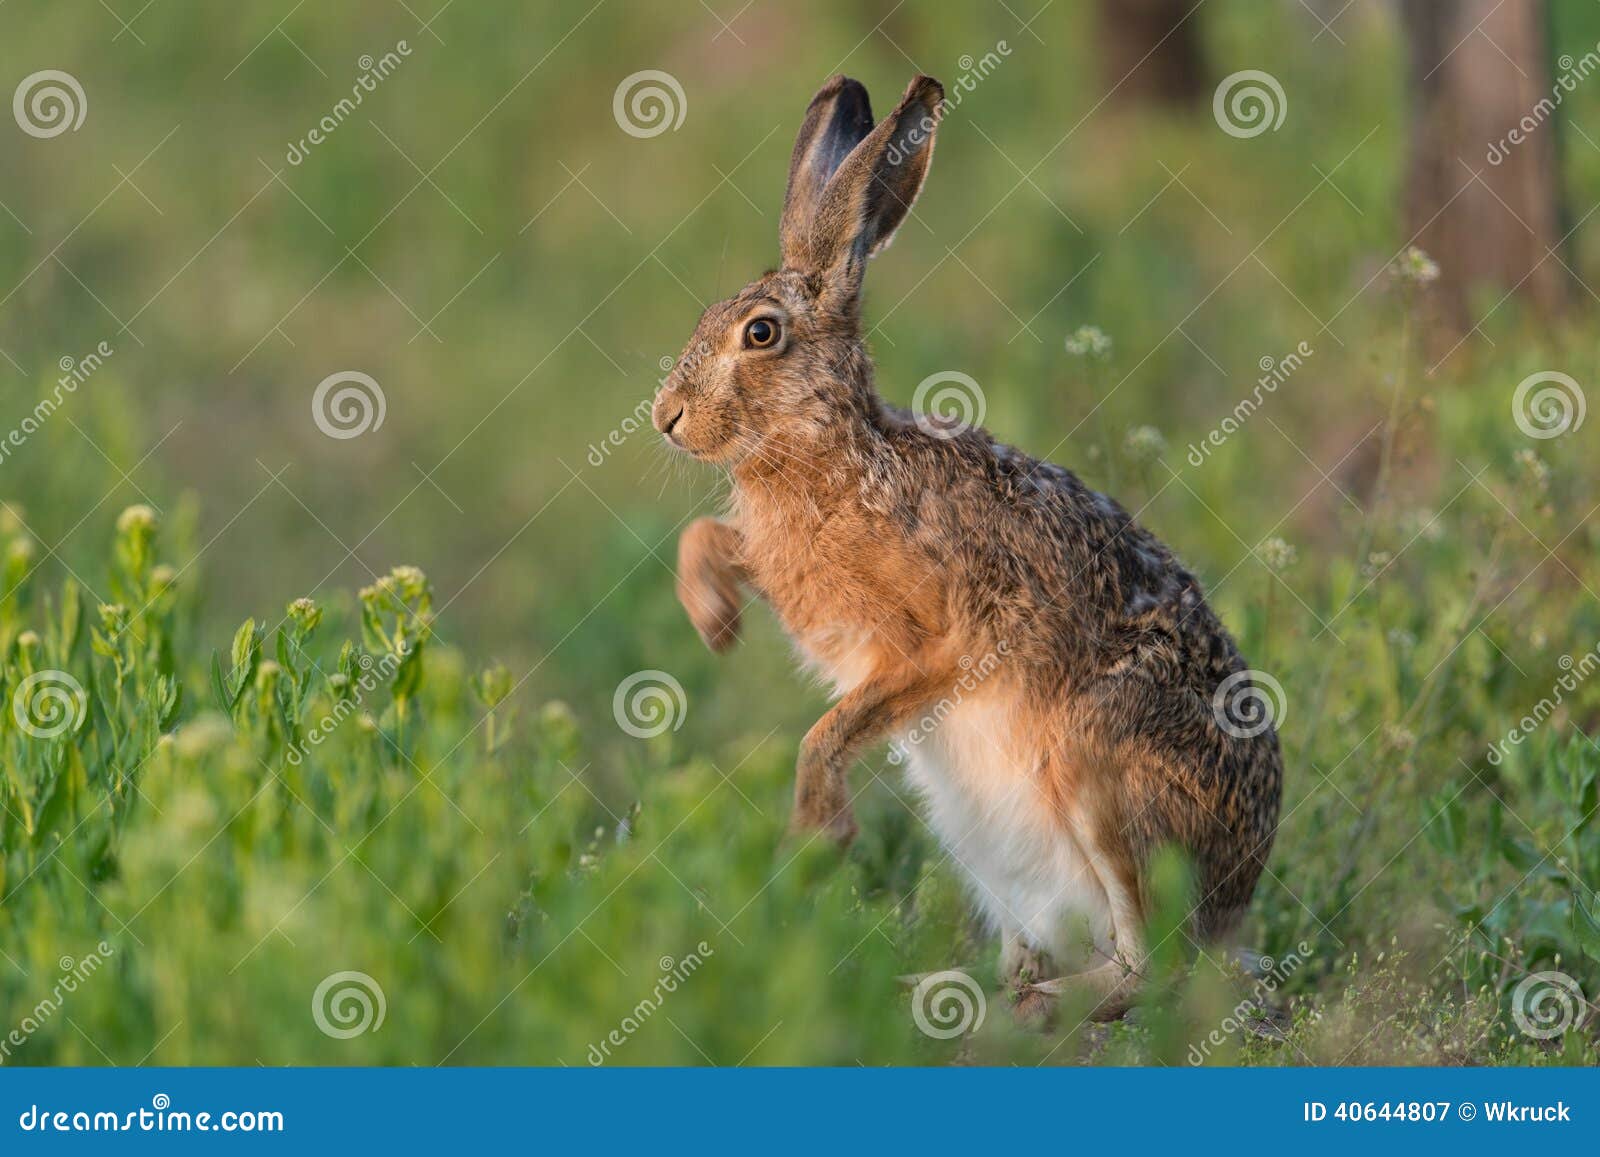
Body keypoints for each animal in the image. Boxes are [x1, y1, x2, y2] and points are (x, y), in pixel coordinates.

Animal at [651, 74, 1283, 1020]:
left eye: (760, 333)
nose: (666, 417)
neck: (831, 455)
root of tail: (1235, 906)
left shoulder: (940, 643)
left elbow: (826, 730)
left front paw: (817, 831)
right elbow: (709, 539)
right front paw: (714, 621)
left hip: (1099, 773)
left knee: (1150, 969)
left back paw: (1040, 1006)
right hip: (986, 846)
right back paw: (947, 991)